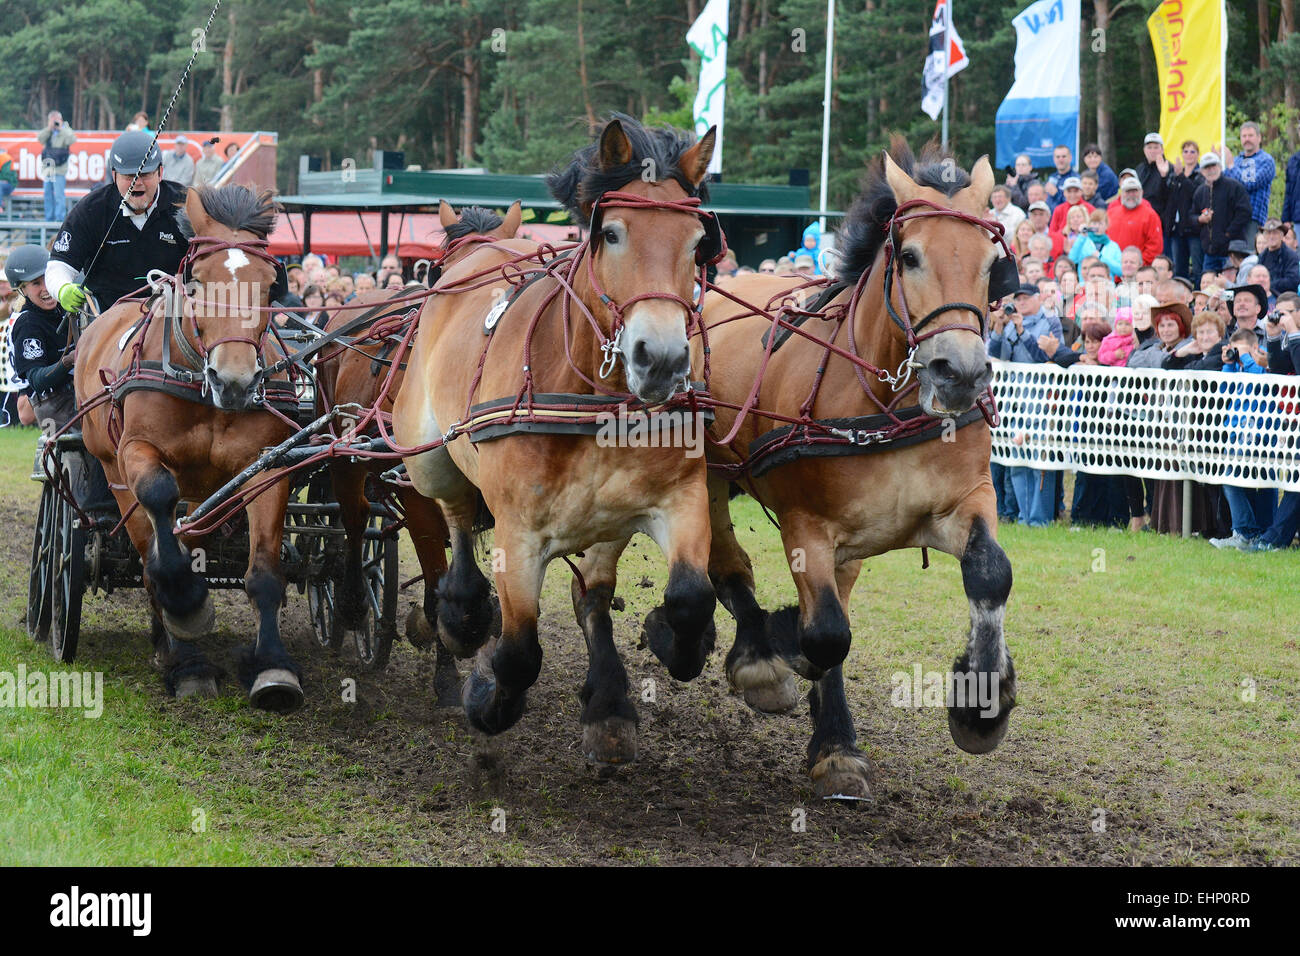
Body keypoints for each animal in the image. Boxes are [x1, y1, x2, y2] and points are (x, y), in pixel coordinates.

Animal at [73, 184, 307, 712]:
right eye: (197, 283)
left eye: (270, 288)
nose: (236, 381)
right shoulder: (137, 453)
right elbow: (161, 511)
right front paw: (186, 609)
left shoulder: (267, 467)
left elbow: (265, 570)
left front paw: (274, 667)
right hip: (112, 470)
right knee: (148, 553)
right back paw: (180, 655)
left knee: (190, 532)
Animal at [313, 200, 522, 704]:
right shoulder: (420, 496)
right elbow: (437, 584)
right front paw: (445, 665)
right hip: (344, 450)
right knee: (353, 520)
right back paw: (351, 602)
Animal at [392, 114, 720, 763]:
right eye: (612, 234)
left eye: (698, 243)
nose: (663, 359)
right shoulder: (519, 532)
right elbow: (519, 649)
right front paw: (486, 696)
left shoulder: (675, 501)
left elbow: (691, 599)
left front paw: (663, 643)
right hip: (429, 458)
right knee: (457, 515)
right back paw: (461, 614)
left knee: (592, 590)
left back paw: (608, 701)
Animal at [574, 141, 1019, 798]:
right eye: (911, 255)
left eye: (992, 264)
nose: (960, 373)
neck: (883, 400)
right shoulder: (807, 525)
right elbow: (827, 633)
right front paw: (832, 738)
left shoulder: (962, 500)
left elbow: (989, 573)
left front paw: (983, 701)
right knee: (610, 583)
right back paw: (641, 690)